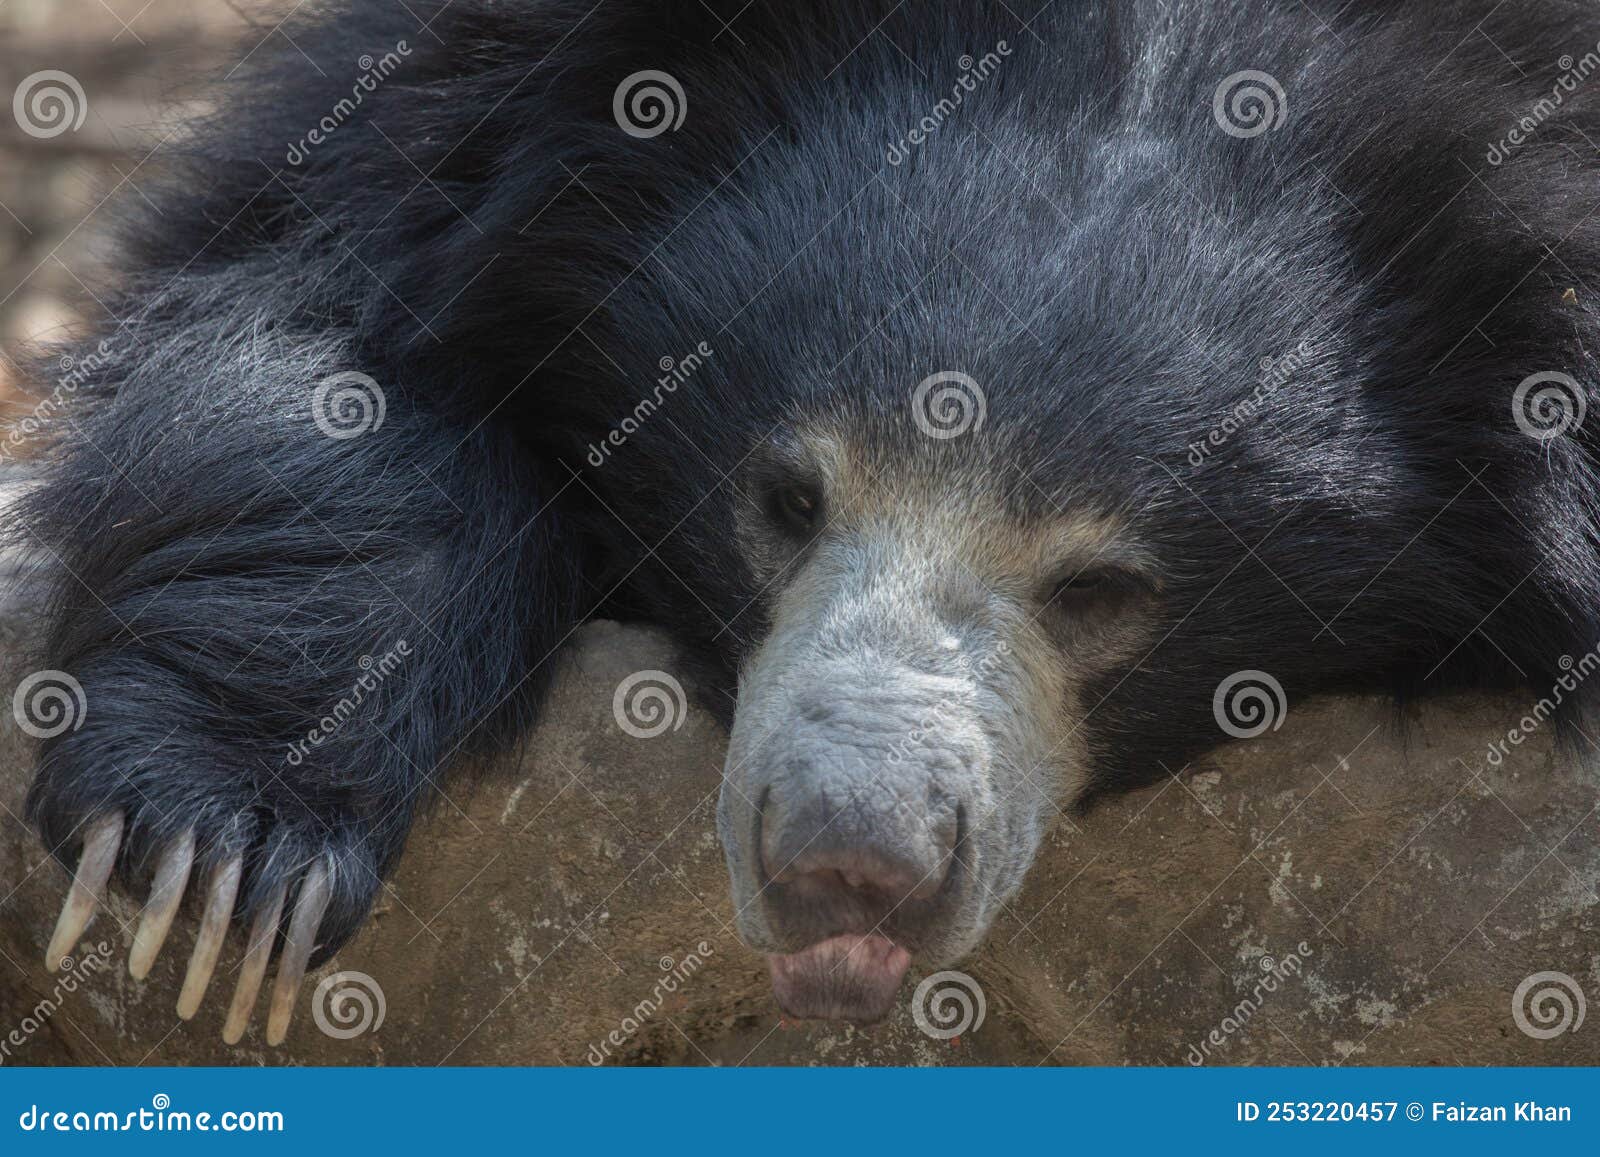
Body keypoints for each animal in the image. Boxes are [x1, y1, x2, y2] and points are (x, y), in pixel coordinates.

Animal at [9, 0, 1600, 1041]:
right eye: (785, 498)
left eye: (1100, 588)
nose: (849, 861)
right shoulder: (483, 91)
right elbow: (324, 322)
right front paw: (213, 857)